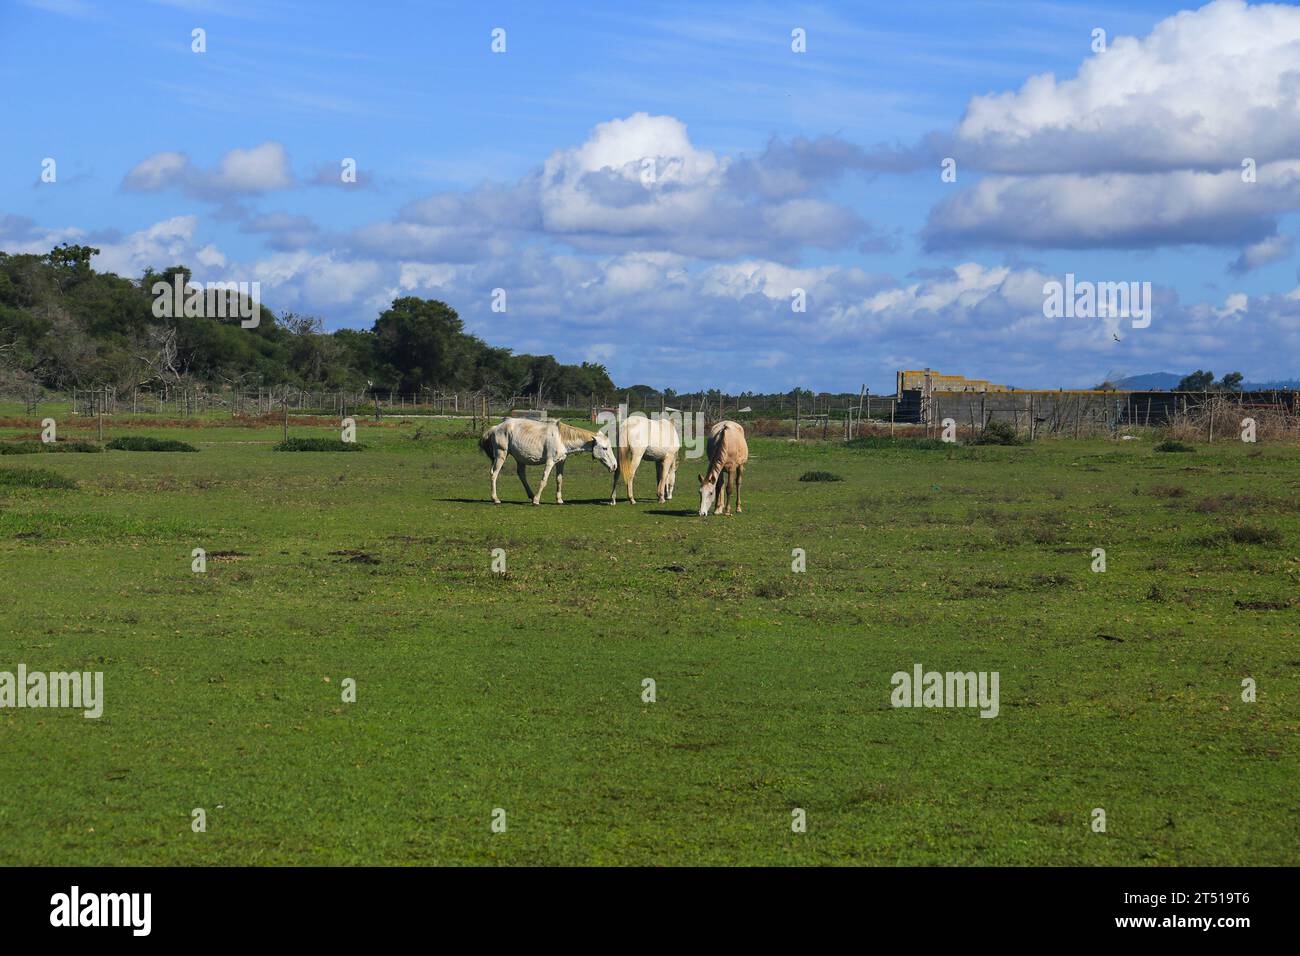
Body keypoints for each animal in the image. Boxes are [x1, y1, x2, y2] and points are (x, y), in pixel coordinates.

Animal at [480, 417, 617, 505]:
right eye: (605, 448)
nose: (615, 466)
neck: (561, 438)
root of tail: (496, 428)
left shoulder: (561, 462)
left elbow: (559, 480)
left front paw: (559, 500)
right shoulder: (550, 462)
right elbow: (544, 480)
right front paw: (537, 501)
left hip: (520, 458)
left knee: (521, 475)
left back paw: (531, 495)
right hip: (501, 455)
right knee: (494, 474)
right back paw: (496, 499)